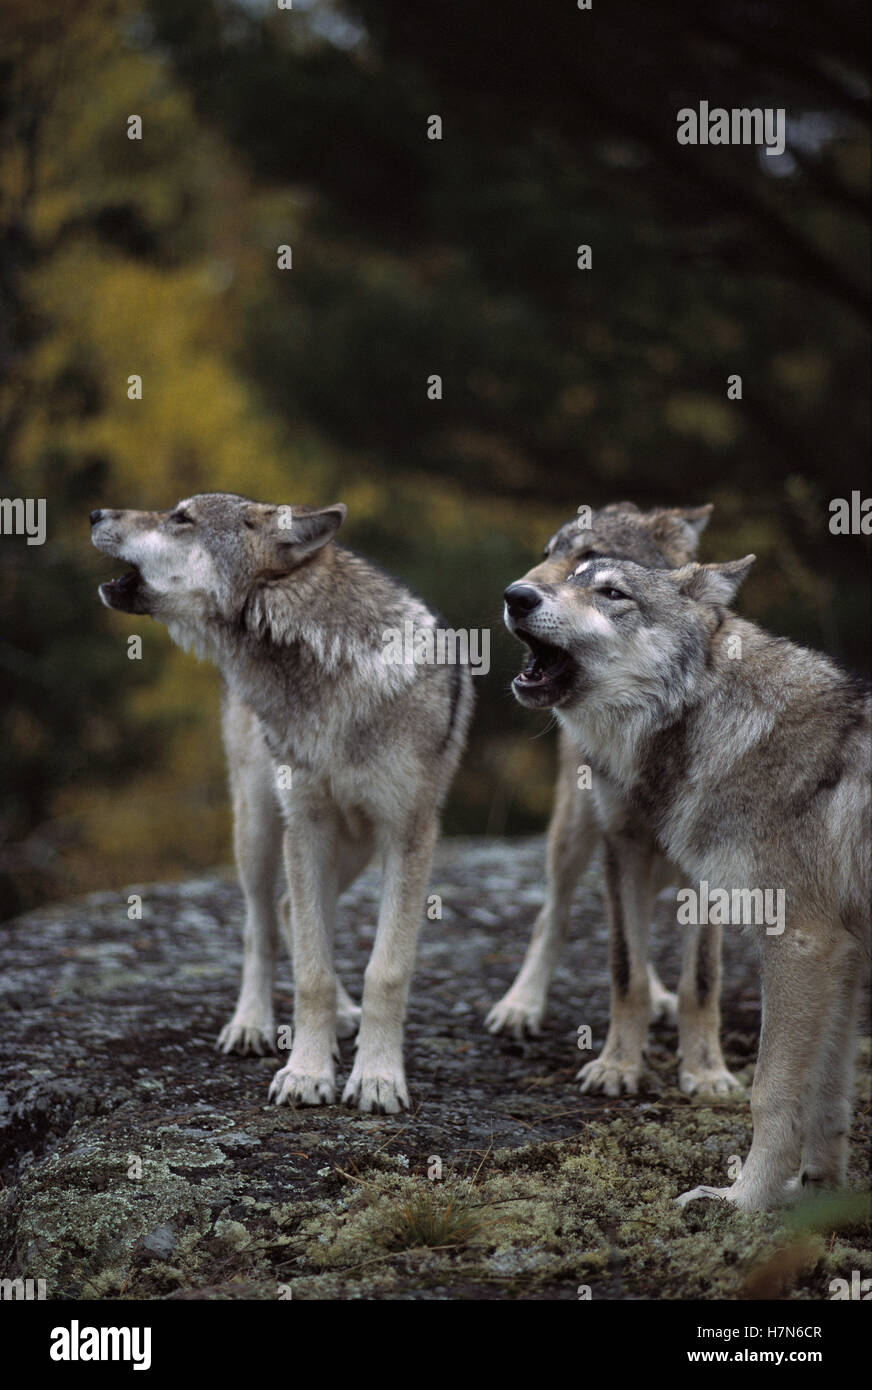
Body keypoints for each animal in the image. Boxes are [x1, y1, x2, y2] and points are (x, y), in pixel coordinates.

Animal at [91, 493, 473, 1112]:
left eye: (180, 518)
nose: (95, 514)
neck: (328, 676)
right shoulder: (307, 827)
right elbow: (310, 972)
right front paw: (306, 1073)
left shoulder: (408, 834)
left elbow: (386, 969)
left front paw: (377, 1077)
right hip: (261, 830)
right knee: (263, 925)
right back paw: (253, 1025)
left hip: (354, 846)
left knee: (292, 910)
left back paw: (344, 1016)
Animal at [488, 501, 741, 1101]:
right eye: (547, 553)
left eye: (598, 569)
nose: (514, 595)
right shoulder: (619, 839)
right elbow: (623, 970)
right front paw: (618, 1066)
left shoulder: (705, 862)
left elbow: (701, 980)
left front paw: (706, 1072)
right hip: (575, 834)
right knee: (553, 916)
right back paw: (520, 1005)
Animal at [504, 553, 870, 1210]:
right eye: (568, 578)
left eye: (613, 594)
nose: (516, 595)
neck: (718, 721)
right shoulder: (842, 956)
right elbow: (827, 1096)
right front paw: (816, 1195)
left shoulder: (804, 946)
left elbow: (772, 1092)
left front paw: (742, 1202)